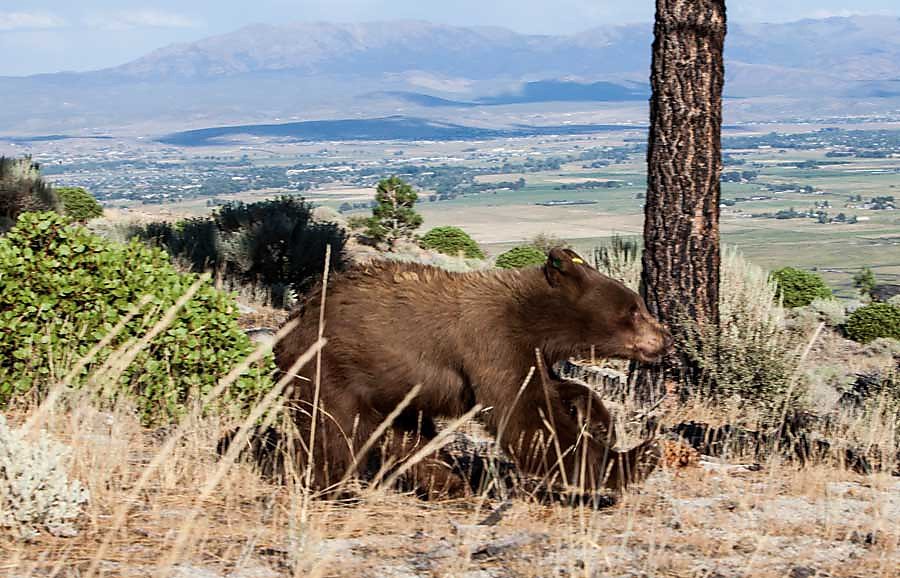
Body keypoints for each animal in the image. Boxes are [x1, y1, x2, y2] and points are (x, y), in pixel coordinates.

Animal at [271, 247, 672, 497]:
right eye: (635, 309)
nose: (666, 338)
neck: (535, 320)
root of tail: (289, 325)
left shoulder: (529, 354)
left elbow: (555, 388)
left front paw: (602, 422)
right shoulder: (492, 342)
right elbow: (526, 421)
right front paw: (637, 457)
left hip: (390, 392)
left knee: (406, 438)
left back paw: (449, 484)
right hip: (331, 372)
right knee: (334, 433)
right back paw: (326, 487)